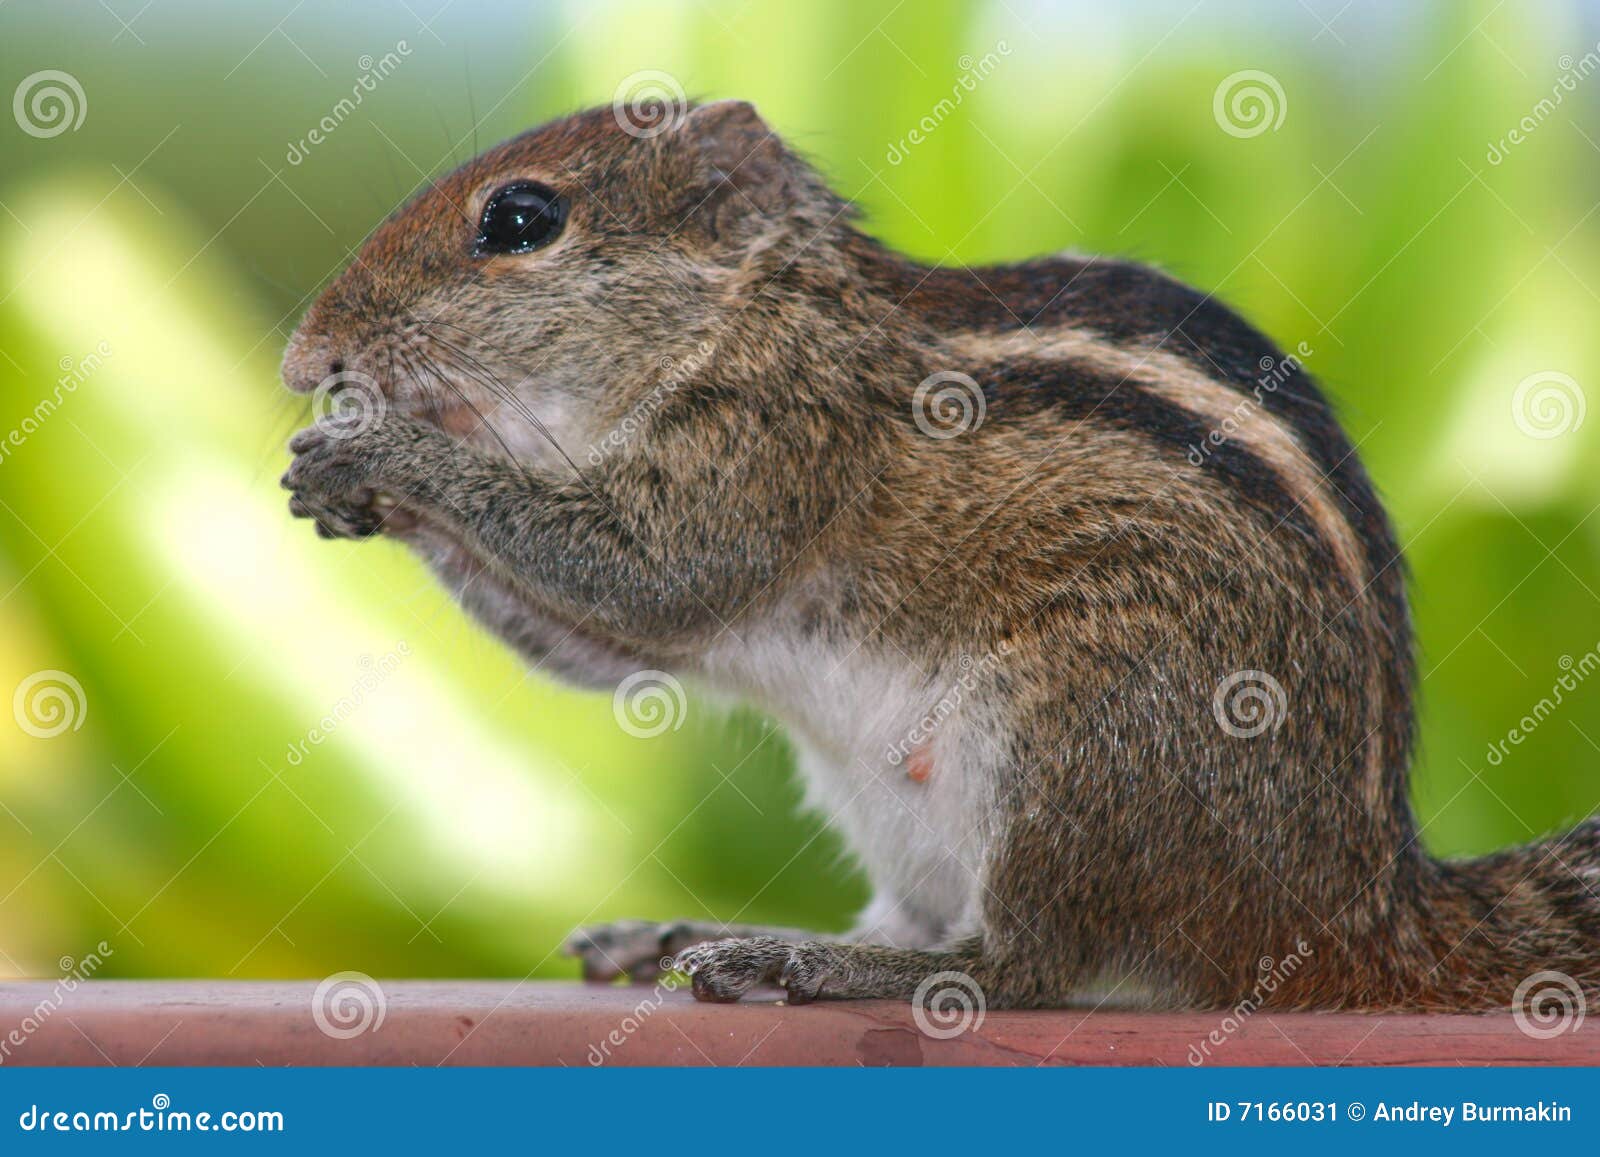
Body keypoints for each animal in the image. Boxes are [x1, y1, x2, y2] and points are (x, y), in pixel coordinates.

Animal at [280, 99, 1600, 1011]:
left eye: (519, 220)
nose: (306, 357)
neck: (756, 311)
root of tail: (1358, 904)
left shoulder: (765, 454)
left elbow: (644, 575)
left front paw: (380, 450)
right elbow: (595, 646)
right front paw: (348, 482)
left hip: (1088, 729)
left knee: (1016, 966)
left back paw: (813, 965)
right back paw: (699, 937)